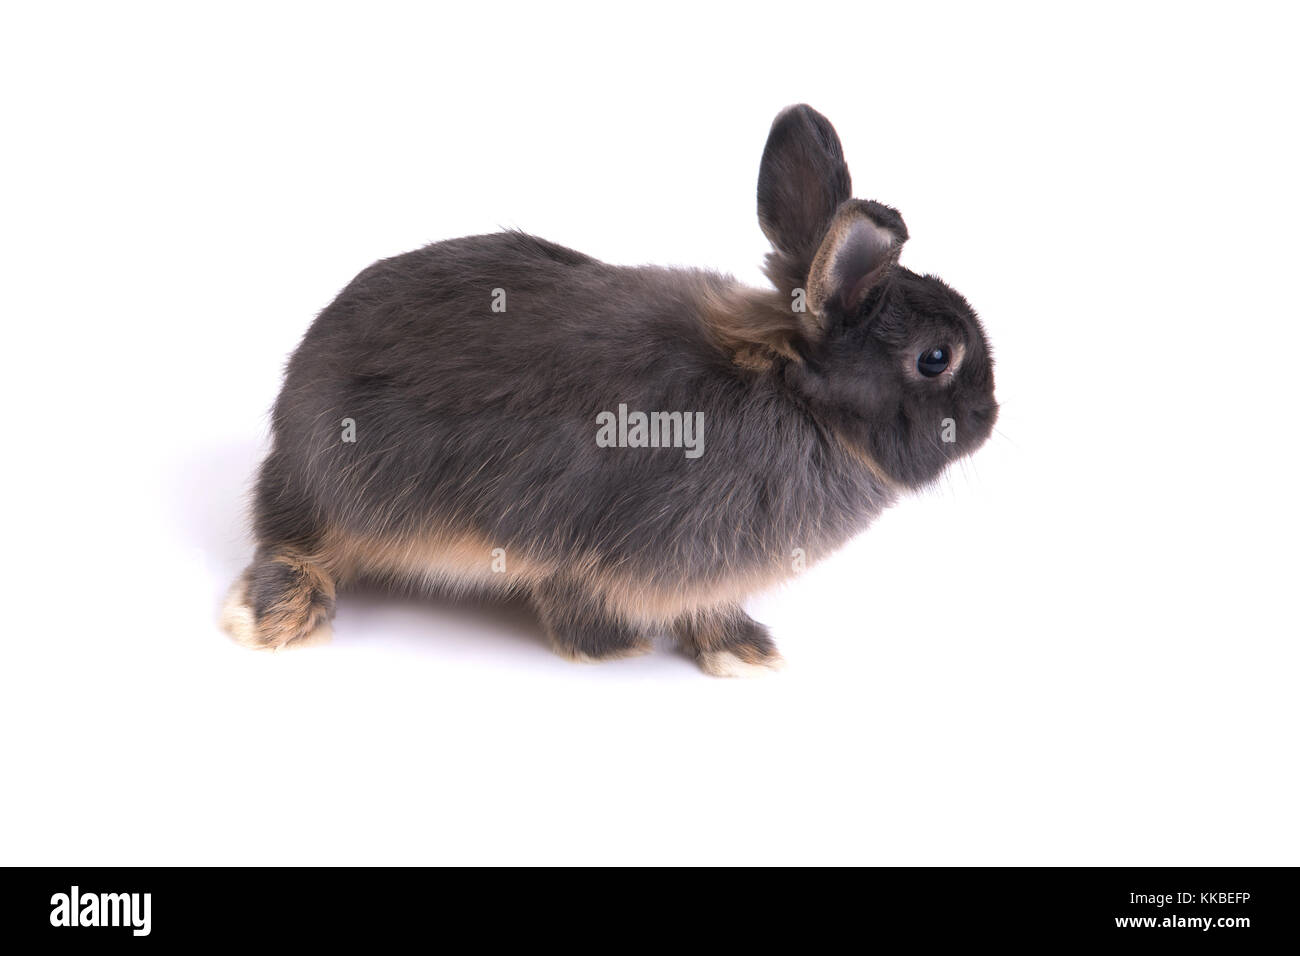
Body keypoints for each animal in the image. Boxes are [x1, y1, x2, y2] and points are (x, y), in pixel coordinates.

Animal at [221, 104, 998, 676]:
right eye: (936, 359)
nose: (989, 416)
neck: (791, 393)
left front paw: (743, 648)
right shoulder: (615, 549)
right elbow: (583, 600)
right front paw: (621, 649)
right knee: (293, 549)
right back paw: (276, 618)